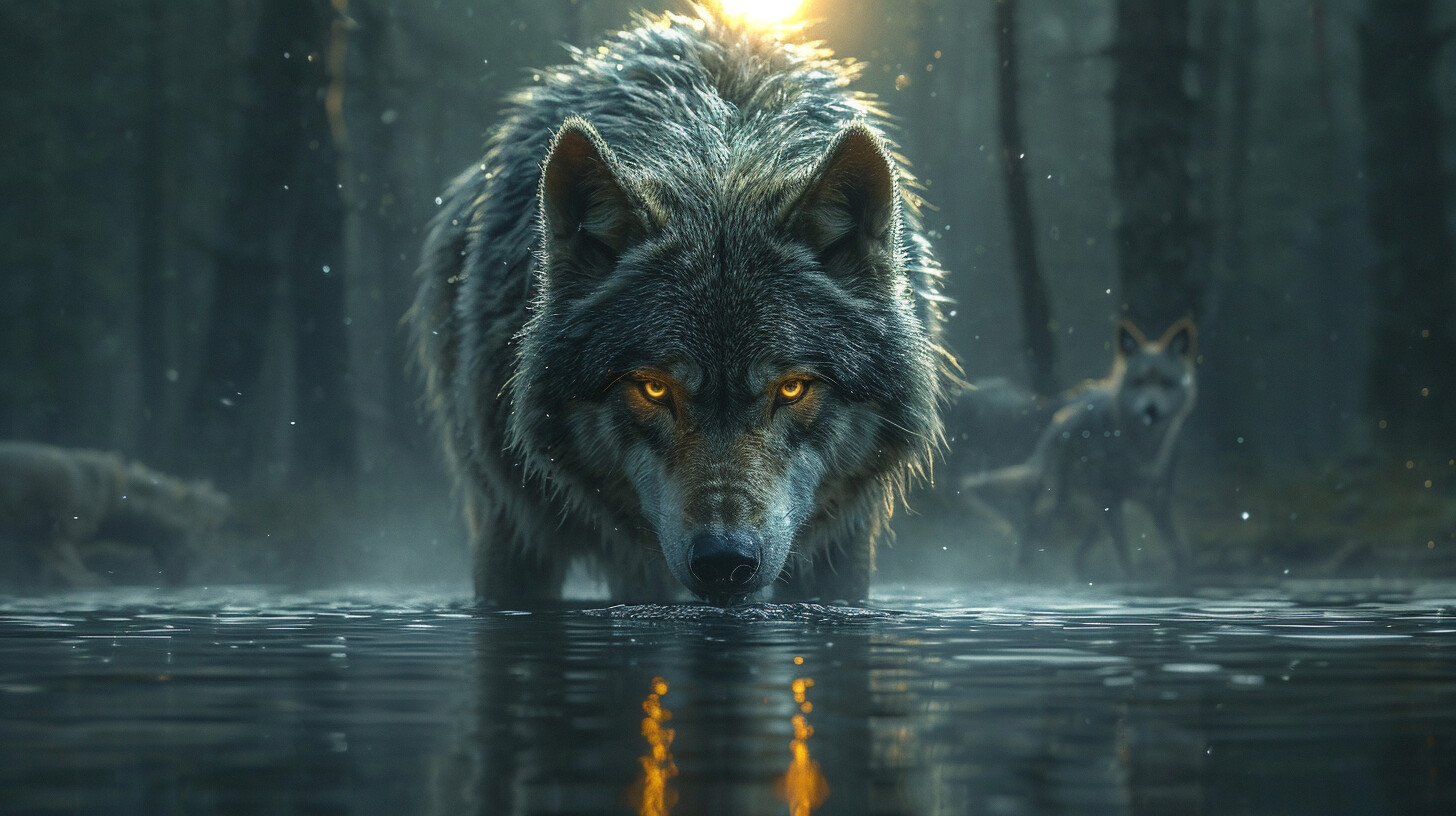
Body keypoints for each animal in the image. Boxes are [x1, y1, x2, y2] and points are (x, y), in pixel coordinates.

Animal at [411, 7, 951, 605]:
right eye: (652, 388)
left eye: (792, 389)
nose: (724, 561)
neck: (721, 152)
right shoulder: (520, 529)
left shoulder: (843, 552)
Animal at [961, 319, 1197, 579]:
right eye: (1138, 382)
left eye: (1166, 382)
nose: (1151, 409)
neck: (1141, 449)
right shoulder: (1112, 500)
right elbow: (1125, 560)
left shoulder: (1158, 504)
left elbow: (1179, 554)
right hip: (1062, 500)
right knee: (1031, 529)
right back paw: (1025, 567)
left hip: (1094, 508)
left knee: (1076, 550)